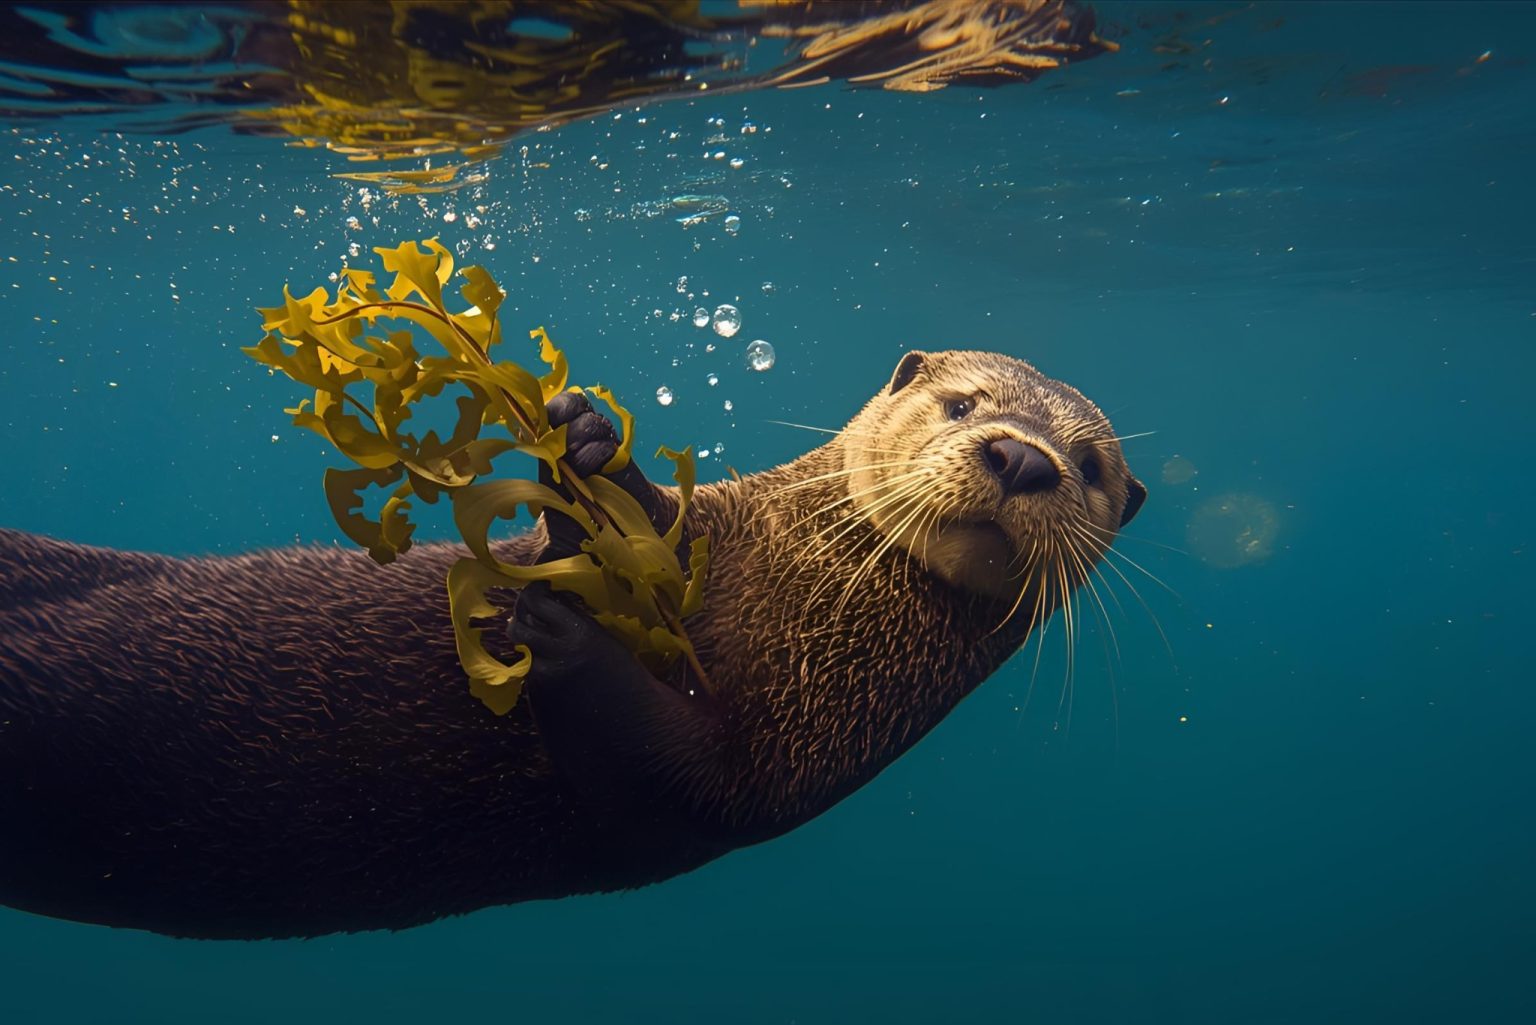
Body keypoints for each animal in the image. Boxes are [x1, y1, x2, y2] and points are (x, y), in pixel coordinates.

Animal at [0, 350, 1144, 939]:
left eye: (1089, 466)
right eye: (961, 403)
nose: (1022, 456)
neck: (794, 588)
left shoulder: (794, 757)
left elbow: (677, 778)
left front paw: (555, 631)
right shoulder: (713, 534)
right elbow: (640, 522)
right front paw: (586, 444)